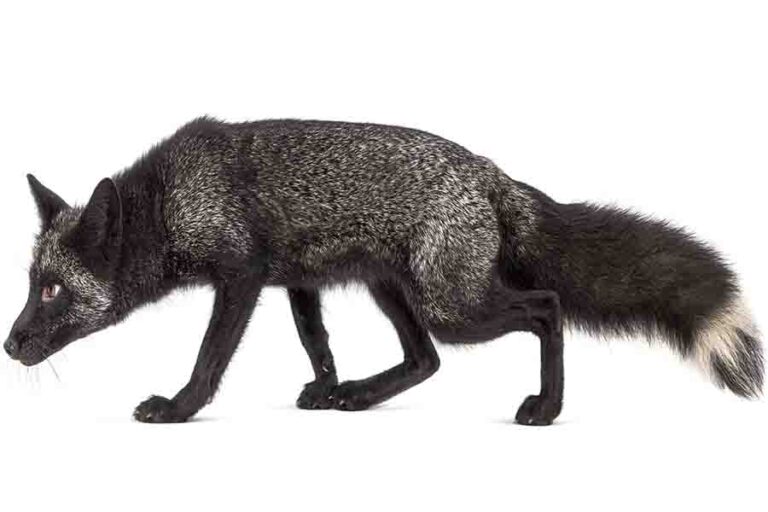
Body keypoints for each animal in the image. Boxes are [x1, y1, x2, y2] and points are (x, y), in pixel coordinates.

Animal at [5, 117, 763, 425]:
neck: (169, 198)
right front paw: (326, 385)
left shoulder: (241, 278)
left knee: (545, 307)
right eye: (31, 284)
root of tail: (491, 175)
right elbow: (317, 343)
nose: (10, 345)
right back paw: (357, 398)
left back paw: (546, 410)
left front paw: (179, 407)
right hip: (392, 290)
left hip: (451, 306)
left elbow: (210, 357)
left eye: (54, 289)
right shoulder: (297, 279)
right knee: (425, 360)